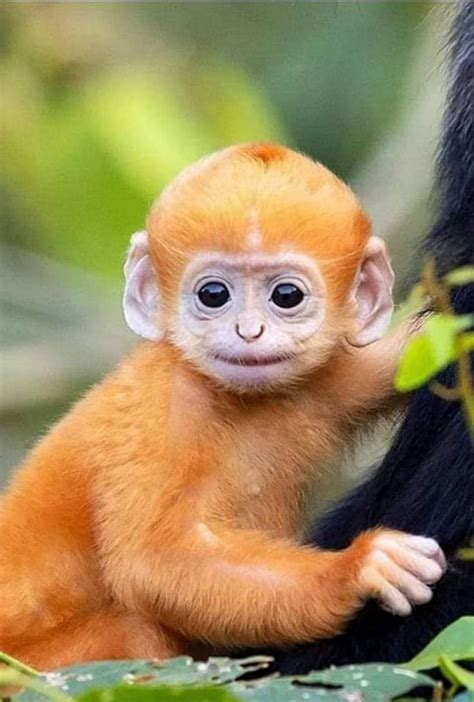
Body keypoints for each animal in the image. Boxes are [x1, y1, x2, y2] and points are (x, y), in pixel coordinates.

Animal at [0, 143, 447, 671]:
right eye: (213, 294)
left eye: (286, 296)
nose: (248, 332)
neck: (239, 402)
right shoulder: (163, 409)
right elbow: (152, 561)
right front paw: (358, 567)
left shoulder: (330, 378)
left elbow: (407, 357)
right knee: (135, 633)